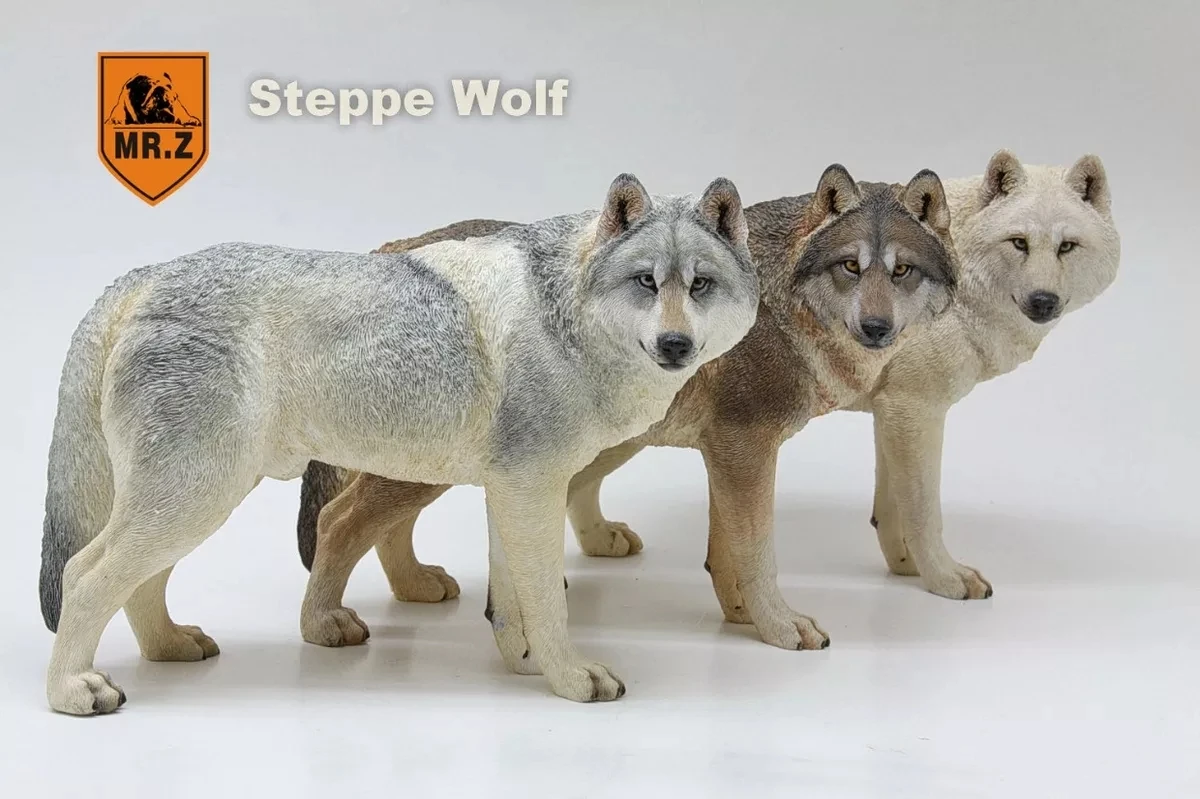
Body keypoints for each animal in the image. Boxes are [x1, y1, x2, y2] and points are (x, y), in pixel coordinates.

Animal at [37, 173, 761, 715]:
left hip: (191, 501)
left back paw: (170, 647)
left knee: (134, 581)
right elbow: (547, 603)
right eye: (646, 282)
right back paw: (71, 691)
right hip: (195, 498)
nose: (675, 345)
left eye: (700, 284)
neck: (568, 317)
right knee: (85, 574)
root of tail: (144, 276)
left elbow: (514, 604)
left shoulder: (513, 492)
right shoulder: (532, 491)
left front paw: (526, 665)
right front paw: (570, 677)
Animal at [295, 164, 961, 665]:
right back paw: (326, 624)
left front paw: (740, 618)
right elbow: (755, 555)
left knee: (378, 527)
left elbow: (725, 554)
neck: (778, 304)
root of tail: (389, 248)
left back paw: (414, 588)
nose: (876, 329)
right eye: (851, 266)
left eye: (902, 270)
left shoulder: (729, 453)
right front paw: (777, 626)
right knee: (337, 521)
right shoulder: (745, 447)